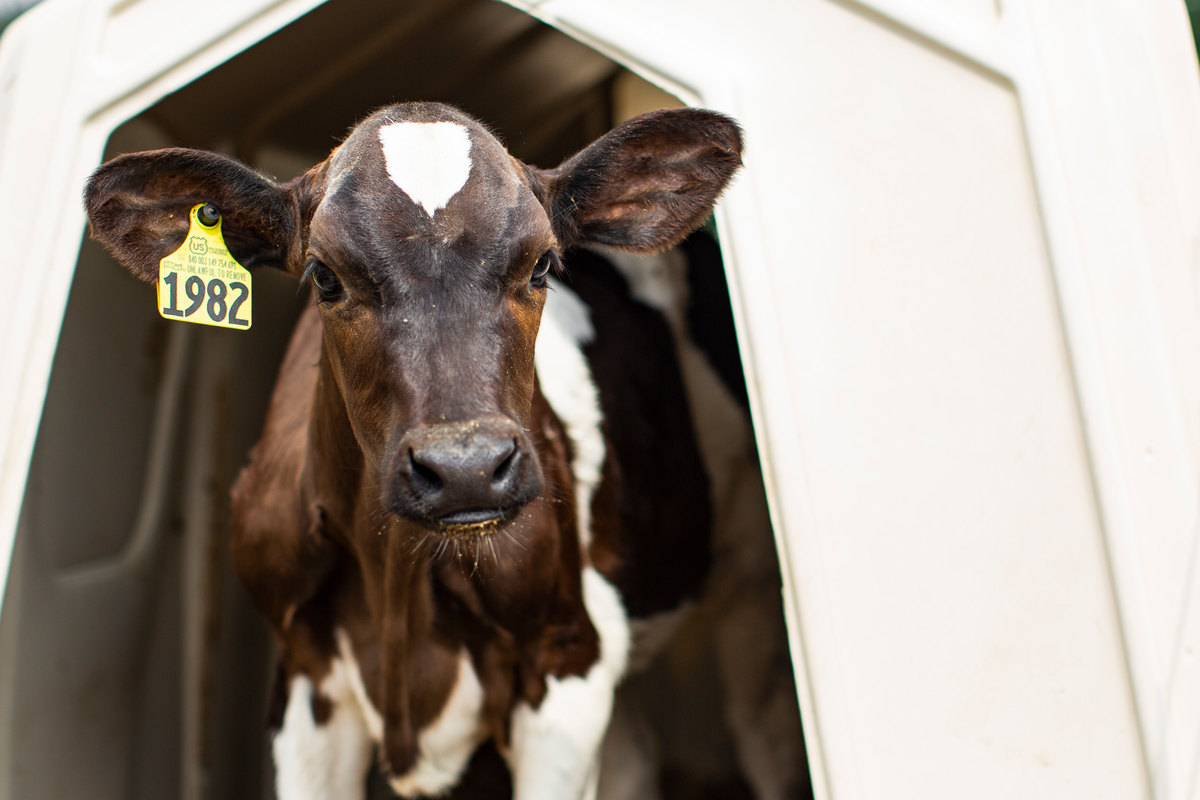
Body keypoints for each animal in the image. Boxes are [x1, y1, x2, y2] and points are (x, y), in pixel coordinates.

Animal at [84, 101, 795, 800]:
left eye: (543, 265)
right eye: (324, 276)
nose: (466, 470)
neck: (396, 582)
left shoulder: (563, 661)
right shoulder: (304, 675)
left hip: (749, 584)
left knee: (764, 736)